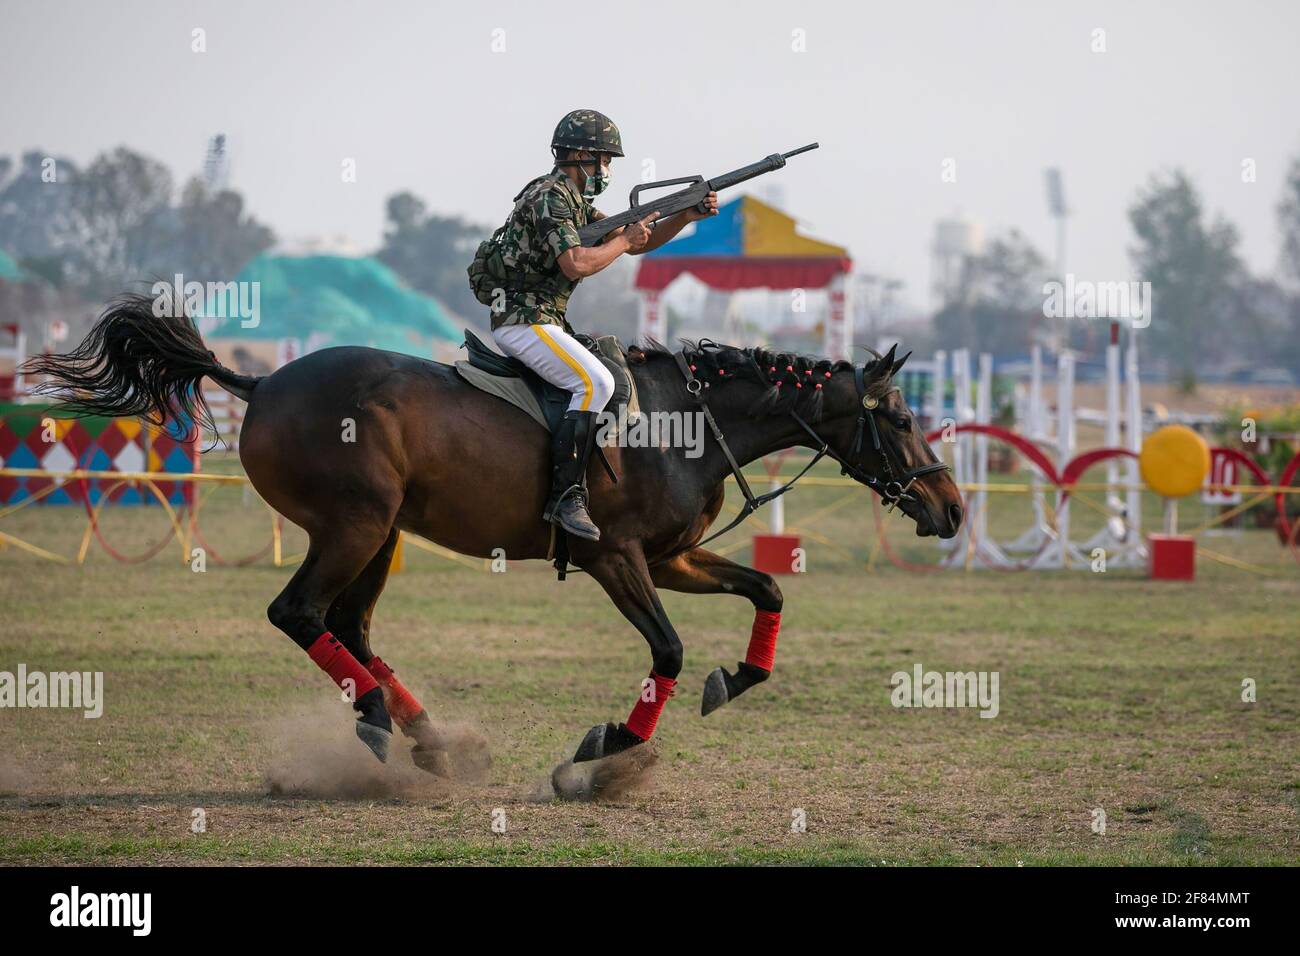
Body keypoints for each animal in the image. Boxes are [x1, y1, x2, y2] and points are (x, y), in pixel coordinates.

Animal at [24, 293, 963, 789]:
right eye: (903, 418)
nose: (952, 510)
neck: (681, 422)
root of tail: (260, 381)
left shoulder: (670, 559)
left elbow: (766, 592)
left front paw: (735, 678)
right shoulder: (615, 558)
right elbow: (665, 650)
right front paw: (608, 751)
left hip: (380, 536)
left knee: (351, 628)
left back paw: (429, 737)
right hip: (354, 525)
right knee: (299, 614)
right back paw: (379, 720)